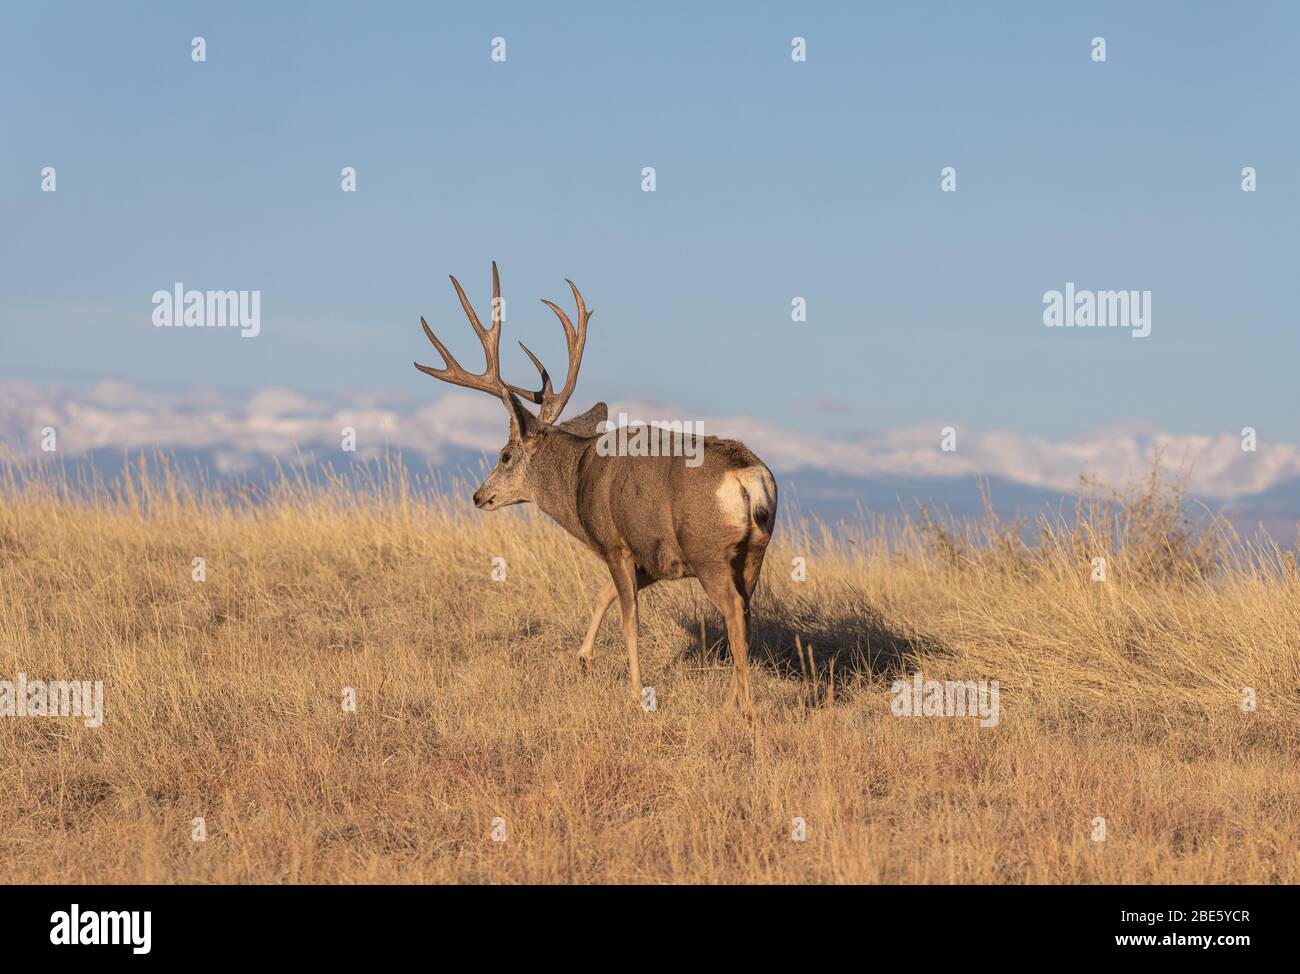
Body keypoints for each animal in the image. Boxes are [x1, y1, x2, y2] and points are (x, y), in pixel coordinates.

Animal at [414, 263, 777, 713]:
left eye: (505, 454)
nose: (480, 495)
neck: (577, 480)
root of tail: (749, 477)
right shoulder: (654, 557)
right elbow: (604, 595)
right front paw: (582, 659)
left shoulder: (616, 542)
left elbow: (629, 619)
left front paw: (636, 693)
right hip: (754, 551)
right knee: (745, 614)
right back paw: (733, 700)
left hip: (708, 550)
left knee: (733, 611)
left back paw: (741, 709)